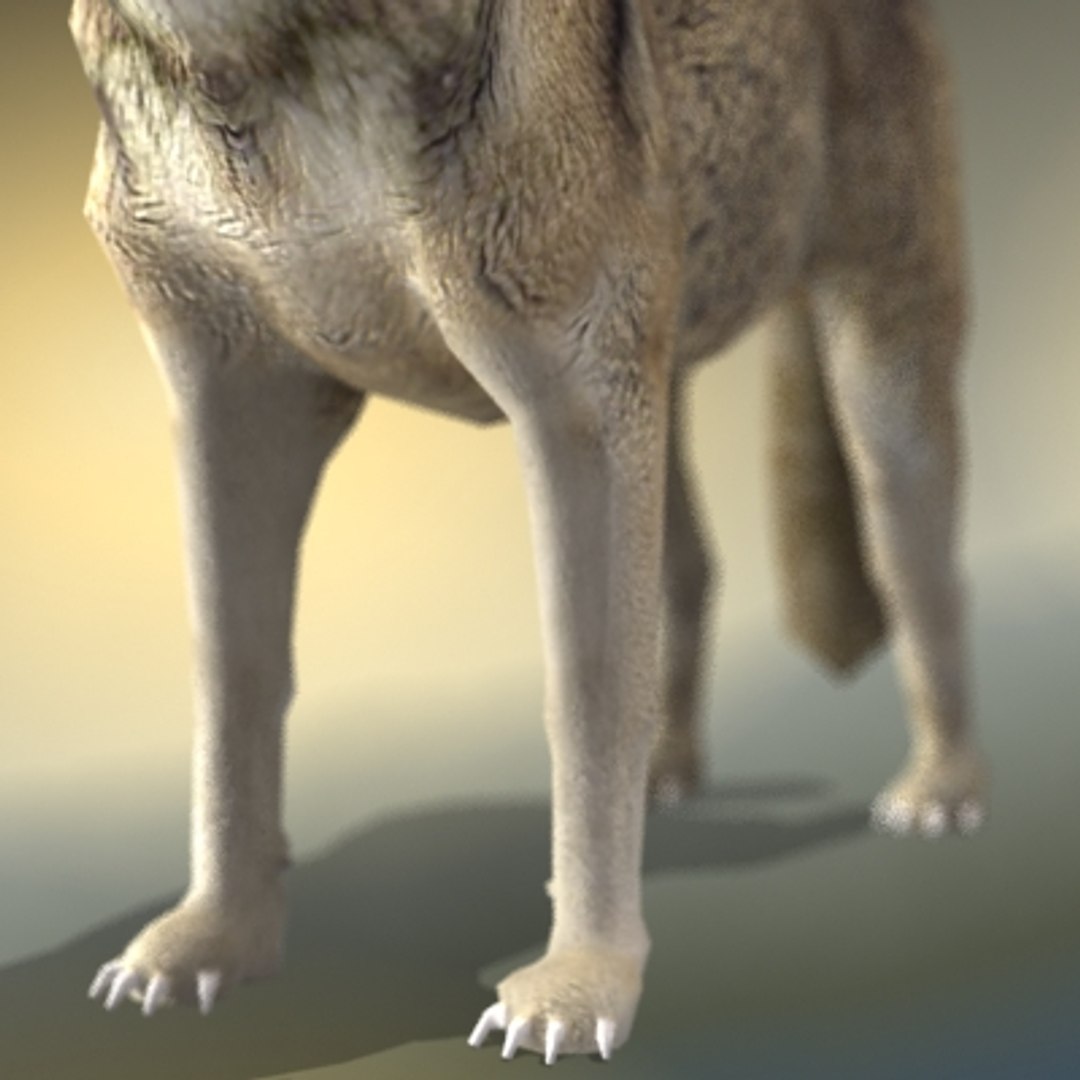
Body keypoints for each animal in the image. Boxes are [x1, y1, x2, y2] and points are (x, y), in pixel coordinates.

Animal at [72, 0, 988, 1064]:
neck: (270, 68)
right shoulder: (229, 388)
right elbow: (232, 676)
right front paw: (214, 938)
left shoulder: (573, 384)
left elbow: (588, 689)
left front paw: (582, 986)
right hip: (661, 371)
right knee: (688, 567)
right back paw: (668, 774)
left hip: (877, 323)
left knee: (917, 555)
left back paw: (943, 787)